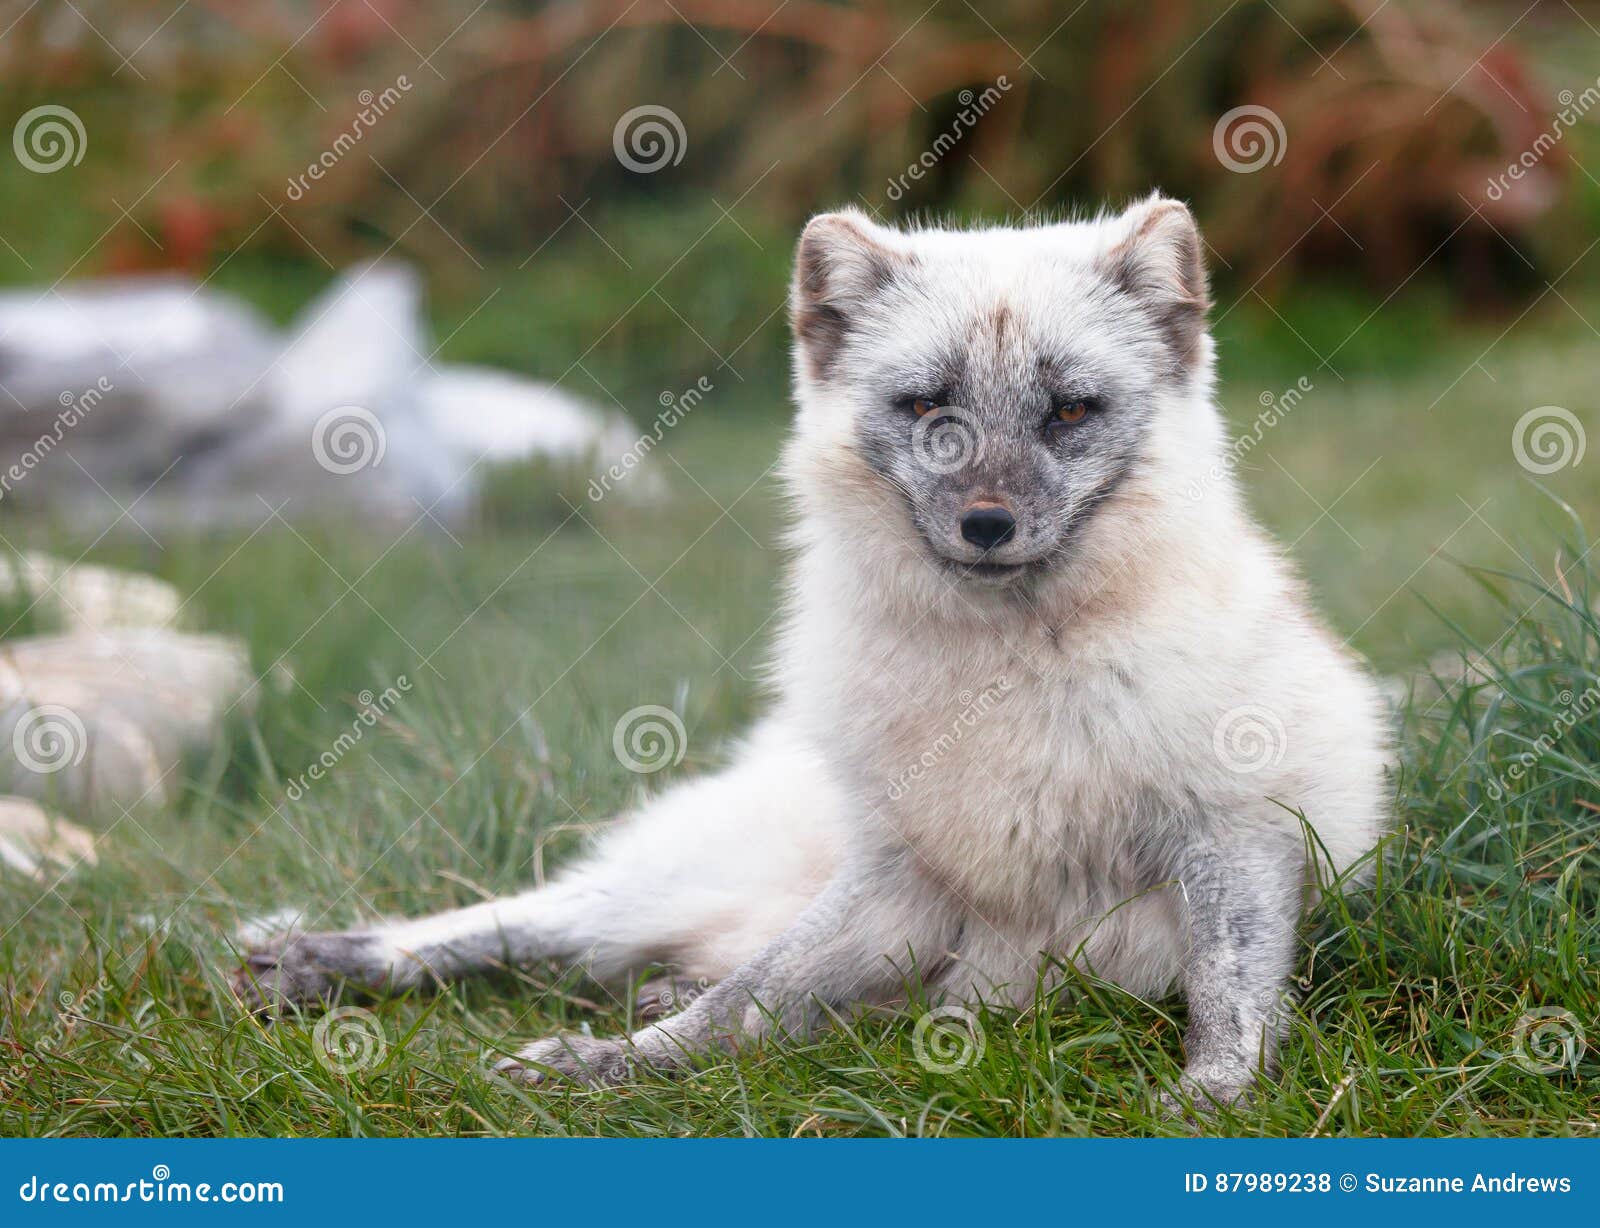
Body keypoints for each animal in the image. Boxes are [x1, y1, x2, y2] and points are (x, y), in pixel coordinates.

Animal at [236, 196, 1391, 1113]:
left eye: (1070, 410)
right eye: (926, 406)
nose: (986, 524)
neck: (1000, 681)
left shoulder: (1237, 833)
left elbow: (1231, 1000)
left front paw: (1214, 1099)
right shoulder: (896, 877)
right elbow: (736, 1007)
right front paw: (609, 1064)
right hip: (690, 872)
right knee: (533, 923)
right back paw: (325, 962)